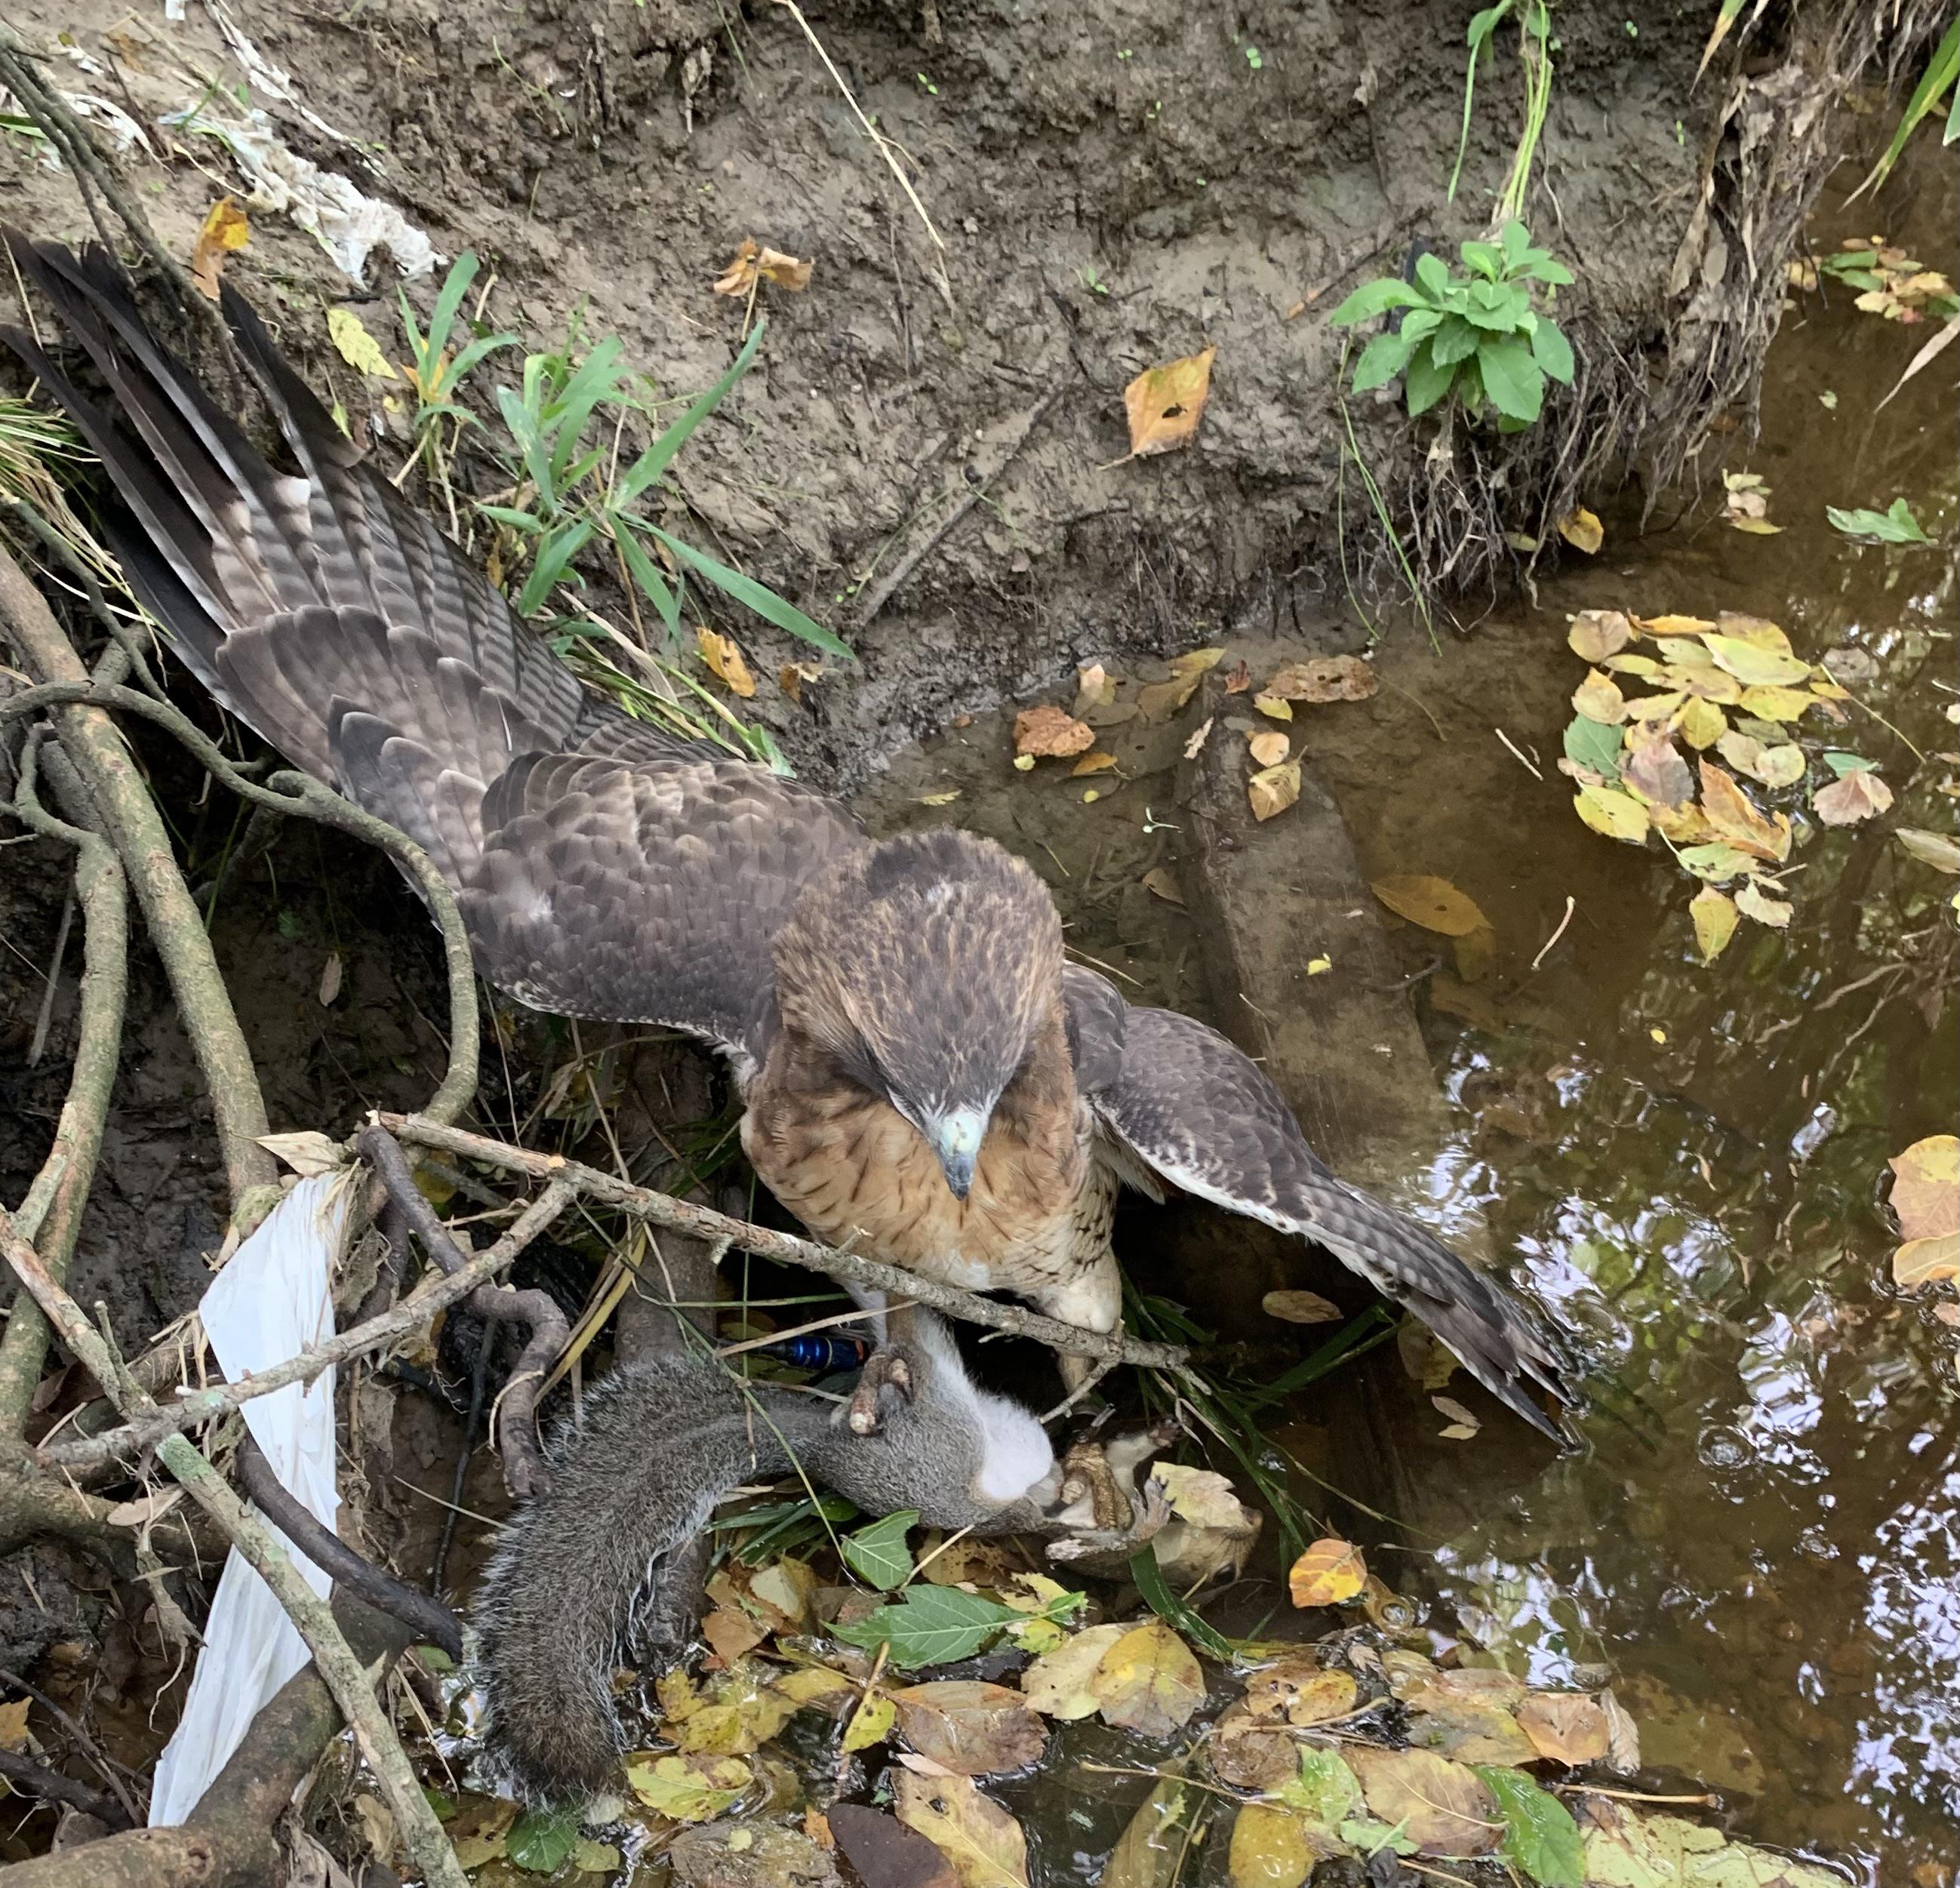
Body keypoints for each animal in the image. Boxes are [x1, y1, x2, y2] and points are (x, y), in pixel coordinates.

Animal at [474, 1313, 1155, 1802]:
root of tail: (830, 1454)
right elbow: (1085, 1507)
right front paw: (1119, 1468)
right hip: (947, 1435)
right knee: (916, 1361)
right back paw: (893, 1363)